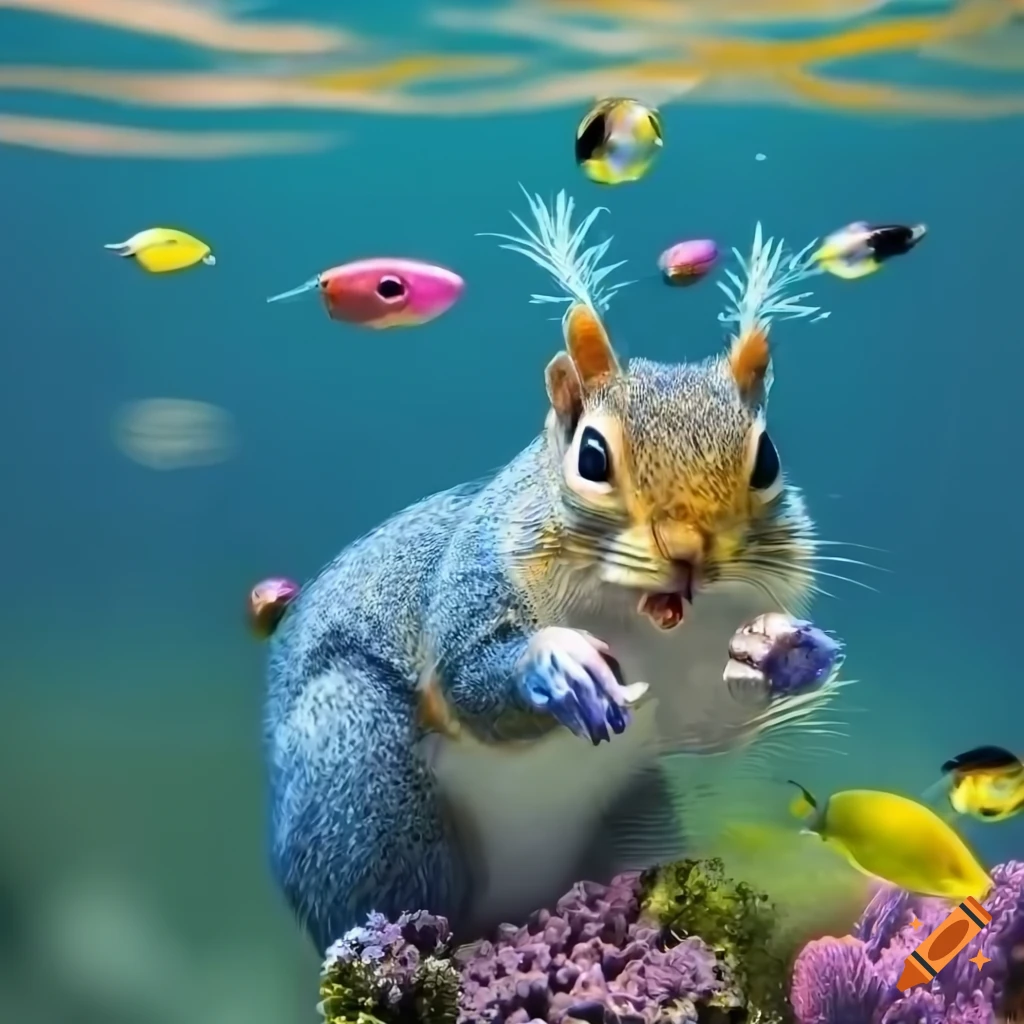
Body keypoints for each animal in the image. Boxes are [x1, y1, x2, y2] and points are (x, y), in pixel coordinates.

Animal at [264, 188, 846, 953]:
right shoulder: (475, 578)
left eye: (768, 458)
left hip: (634, 812)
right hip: (359, 772)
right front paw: (556, 661)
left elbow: (707, 727)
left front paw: (785, 650)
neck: (643, 621)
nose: (688, 551)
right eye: (592, 456)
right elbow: (471, 680)